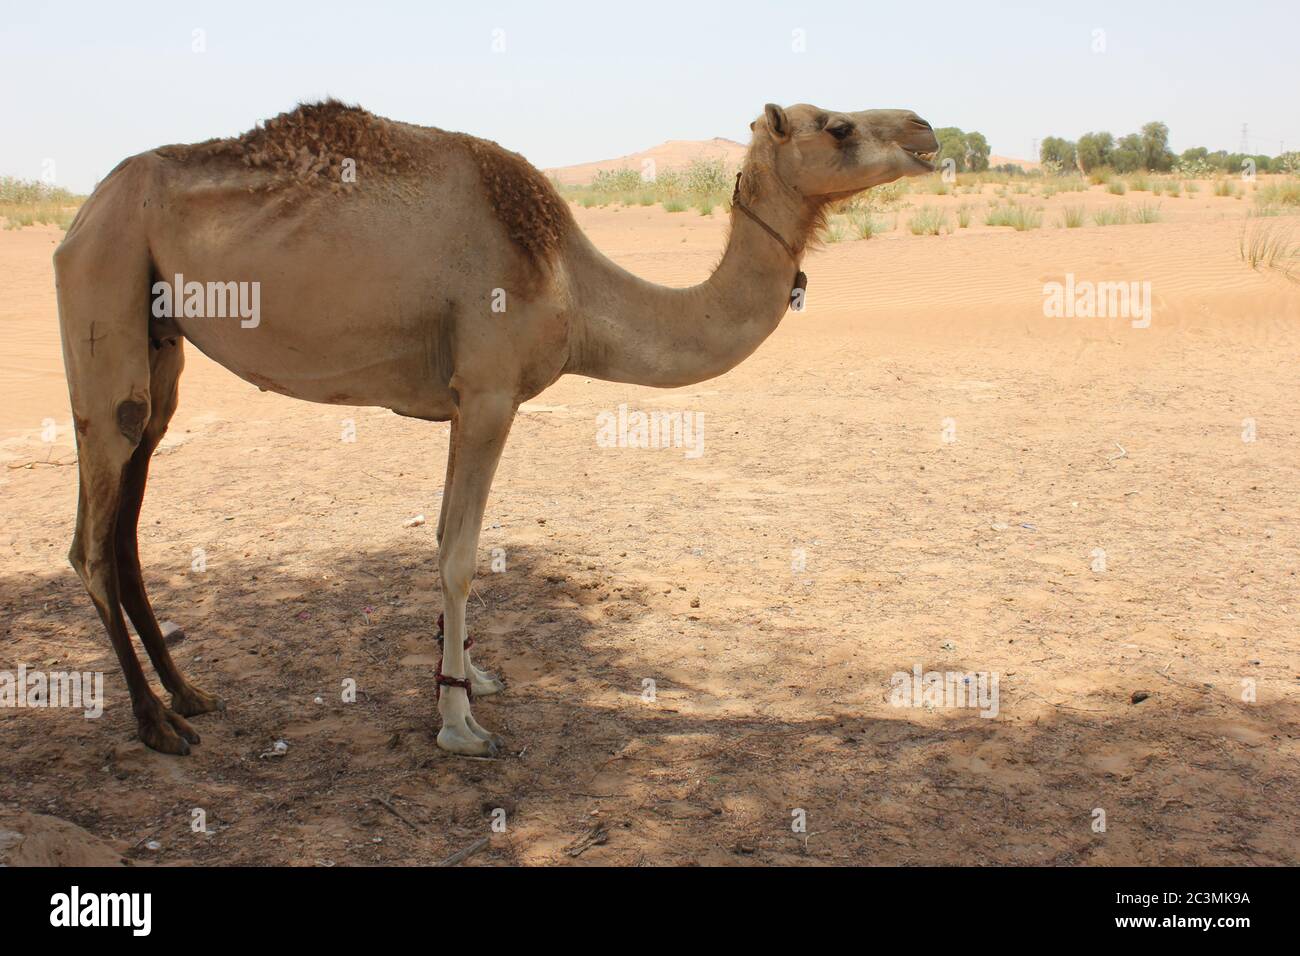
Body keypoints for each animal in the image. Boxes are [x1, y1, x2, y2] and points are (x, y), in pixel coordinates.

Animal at [55, 100, 937, 756]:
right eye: (839, 127)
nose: (927, 131)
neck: (569, 281)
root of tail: (84, 211)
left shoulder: (463, 401)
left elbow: (449, 536)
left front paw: (472, 679)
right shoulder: (487, 393)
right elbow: (459, 555)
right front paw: (458, 724)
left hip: (158, 341)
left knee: (128, 521)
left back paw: (189, 693)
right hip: (104, 286)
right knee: (91, 540)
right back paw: (154, 723)